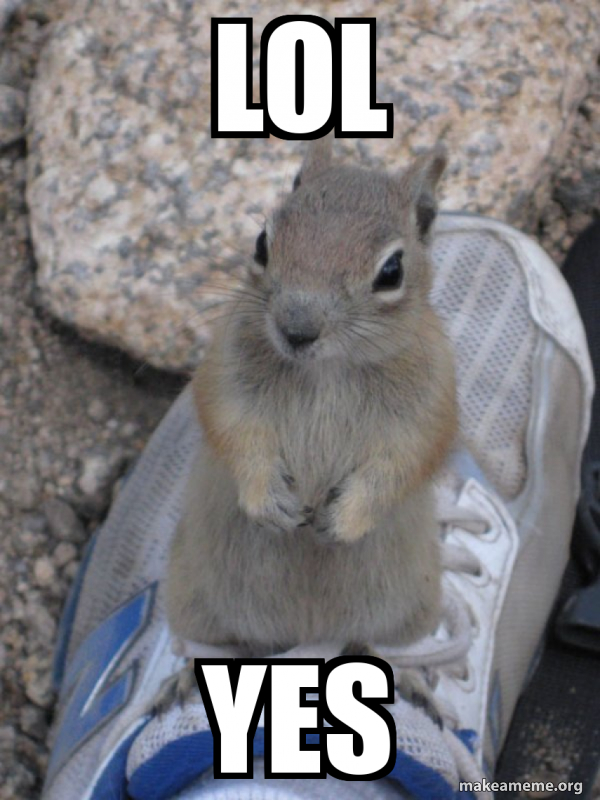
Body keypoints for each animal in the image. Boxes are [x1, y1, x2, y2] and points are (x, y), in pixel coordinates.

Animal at [161, 135, 458, 710]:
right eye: (262, 242)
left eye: (392, 271)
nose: (296, 328)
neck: (325, 370)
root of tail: (307, 636)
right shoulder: (227, 377)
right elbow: (237, 436)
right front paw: (269, 502)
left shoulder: (427, 409)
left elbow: (400, 465)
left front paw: (344, 519)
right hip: (189, 596)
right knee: (217, 644)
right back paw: (185, 678)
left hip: (414, 608)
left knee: (371, 640)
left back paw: (408, 680)